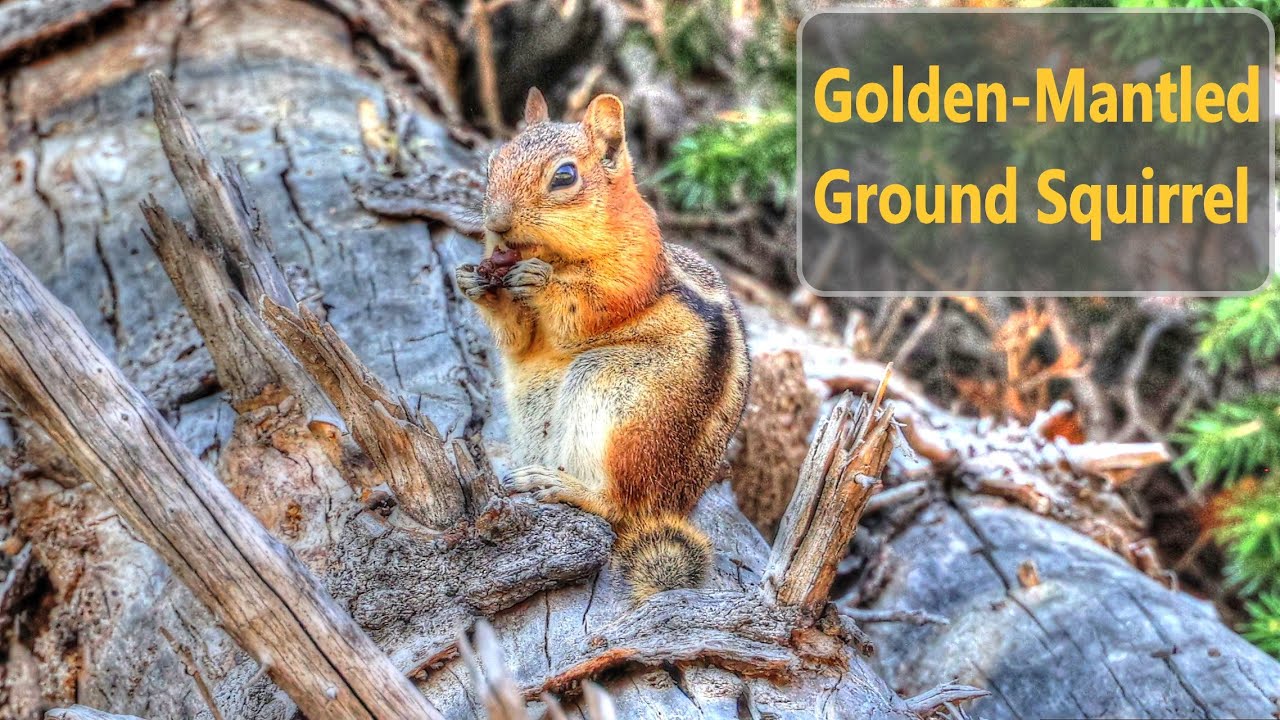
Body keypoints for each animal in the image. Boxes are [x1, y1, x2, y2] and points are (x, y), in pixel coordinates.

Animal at [455, 88, 751, 602]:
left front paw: (539, 281)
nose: (496, 224)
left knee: (619, 507)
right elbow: (520, 341)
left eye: (564, 176)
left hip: (615, 398)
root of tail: (671, 505)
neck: (555, 253)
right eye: (492, 163)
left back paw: (562, 485)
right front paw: (477, 283)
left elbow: (582, 311)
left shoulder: (632, 271)